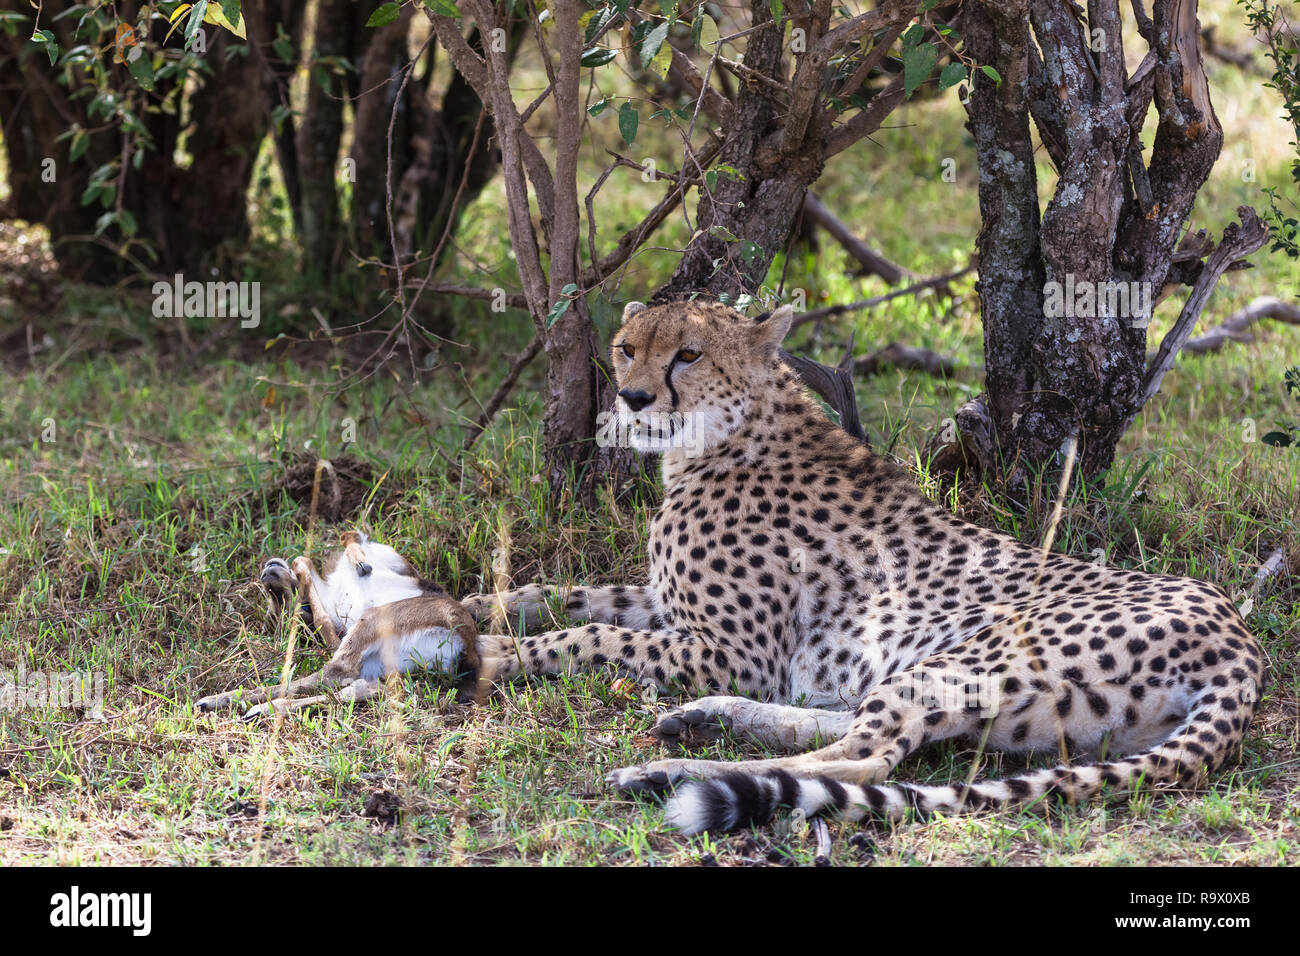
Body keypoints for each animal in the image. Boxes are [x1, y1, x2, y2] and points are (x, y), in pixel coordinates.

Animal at [463, 299, 1265, 835]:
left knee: (865, 759)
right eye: (627, 348)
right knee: (852, 728)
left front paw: (495, 654)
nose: (632, 398)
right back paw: (705, 721)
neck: (727, 438)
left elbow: (592, 636)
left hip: (970, 651)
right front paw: (467, 613)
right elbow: (574, 596)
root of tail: (1240, 641)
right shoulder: (672, 610)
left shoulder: (735, 654)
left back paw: (666, 772)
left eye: (687, 355)